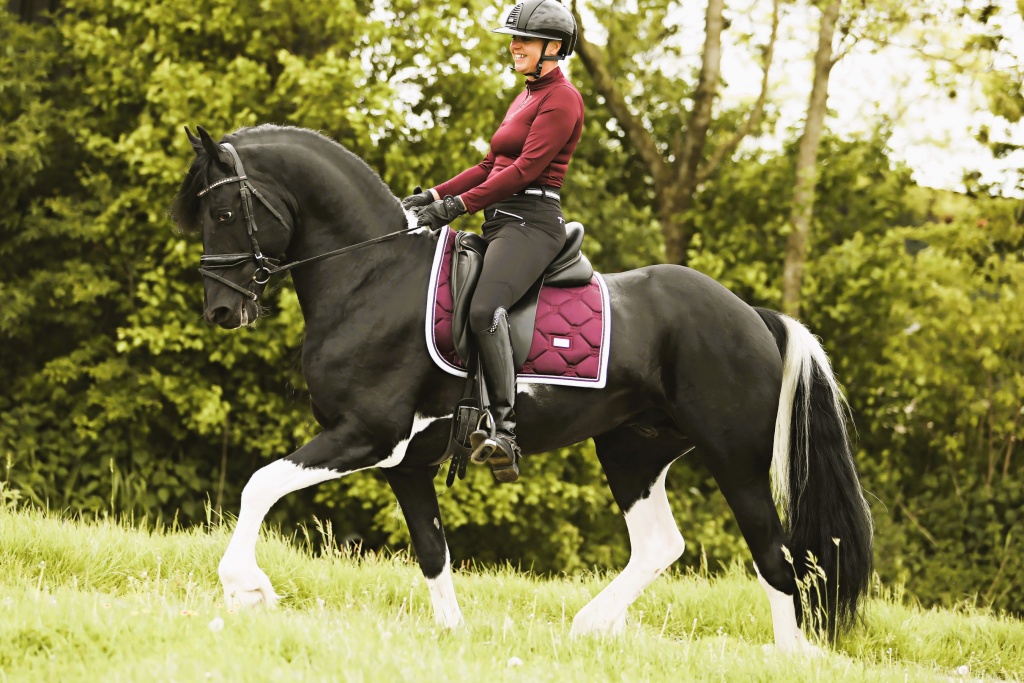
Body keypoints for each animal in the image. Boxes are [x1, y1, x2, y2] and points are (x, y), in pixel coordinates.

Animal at [170, 123, 872, 652]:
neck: (372, 274)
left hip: (735, 459)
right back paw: (591, 627)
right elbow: (432, 550)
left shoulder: (367, 436)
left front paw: (246, 588)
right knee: (660, 542)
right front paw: (453, 636)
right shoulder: (407, 463)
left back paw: (788, 655)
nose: (222, 312)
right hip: (632, 449)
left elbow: (260, 483)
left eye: (224, 210)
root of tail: (752, 315)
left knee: (774, 554)